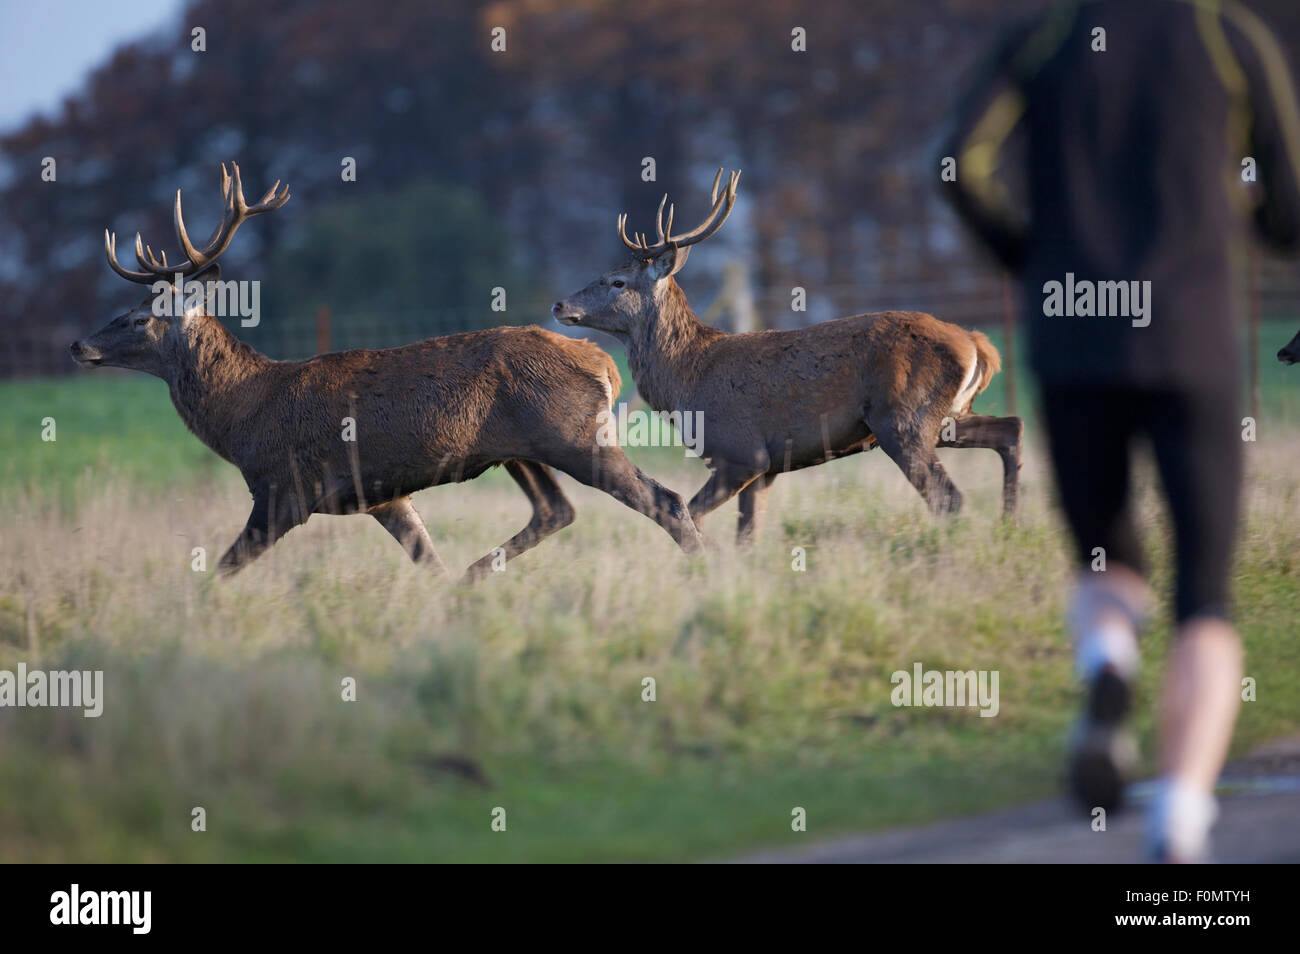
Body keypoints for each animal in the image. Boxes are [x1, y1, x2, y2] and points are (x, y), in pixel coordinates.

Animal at [71, 163, 703, 577]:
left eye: (139, 319)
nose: (78, 345)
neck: (244, 416)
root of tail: (606, 364)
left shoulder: (287, 489)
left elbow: (222, 570)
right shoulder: (380, 496)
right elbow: (425, 557)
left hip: (573, 435)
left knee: (664, 500)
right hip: (520, 449)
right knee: (557, 510)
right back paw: (472, 577)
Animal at [552, 169, 1024, 545]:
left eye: (617, 281)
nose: (559, 305)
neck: (688, 379)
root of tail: (977, 343)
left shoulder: (742, 451)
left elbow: (693, 513)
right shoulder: (767, 468)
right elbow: (746, 536)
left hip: (904, 418)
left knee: (949, 497)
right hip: (948, 417)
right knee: (1011, 429)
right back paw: (1010, 529)